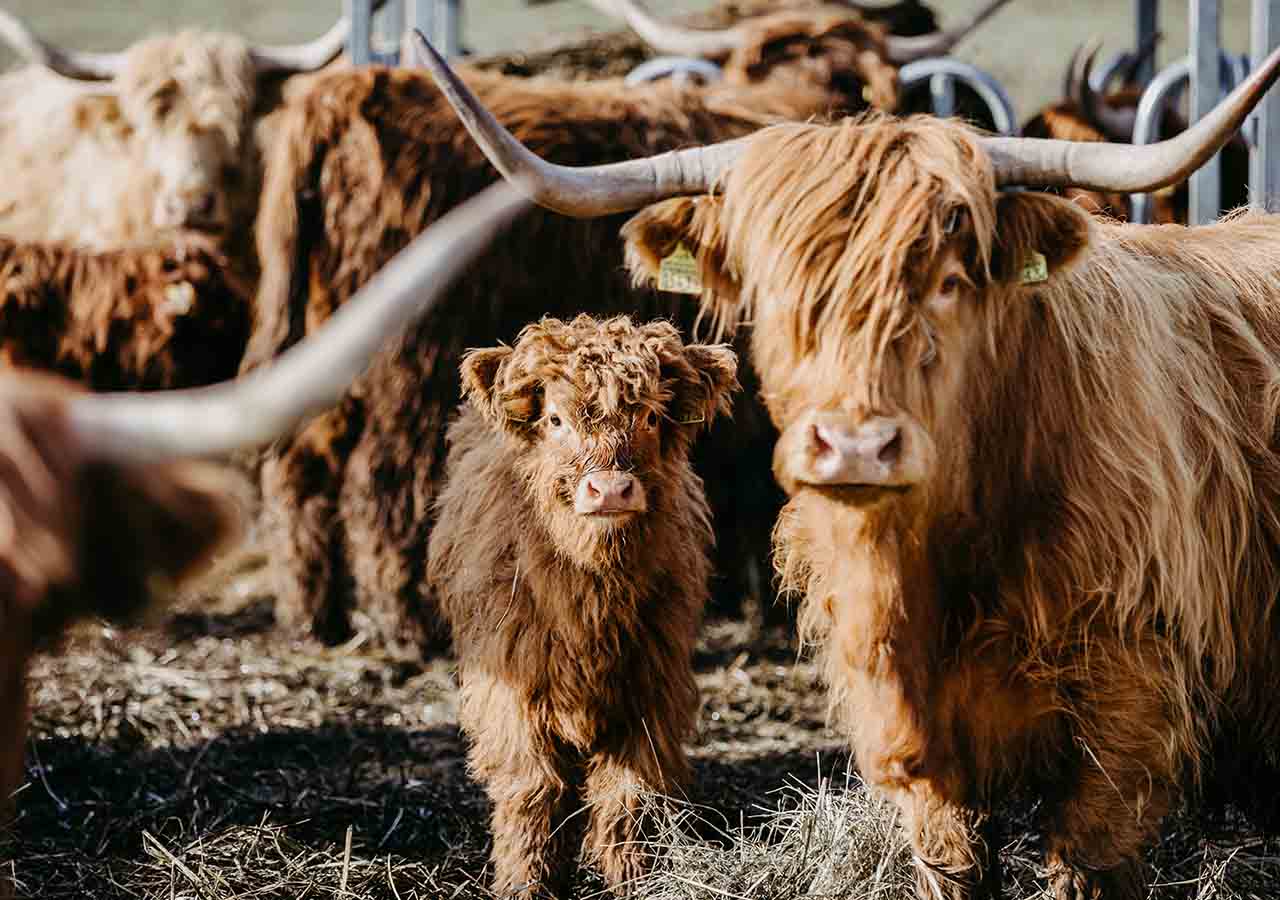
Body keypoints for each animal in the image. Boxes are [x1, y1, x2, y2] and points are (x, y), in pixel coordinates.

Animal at [240, 1, 1010, 649]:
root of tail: (342, 95)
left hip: (320, 338)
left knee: (300, 462)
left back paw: (315, 617)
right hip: (410, 361)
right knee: (383, 476)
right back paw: (407, 623)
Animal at [428, 314, 738, 895]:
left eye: (648, 415)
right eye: (555, 418)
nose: (610, 490)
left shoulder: (649, 689)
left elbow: (629, 795)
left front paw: (636, 881)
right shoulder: (513, 688)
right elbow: (533, 792)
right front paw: (524, 884)